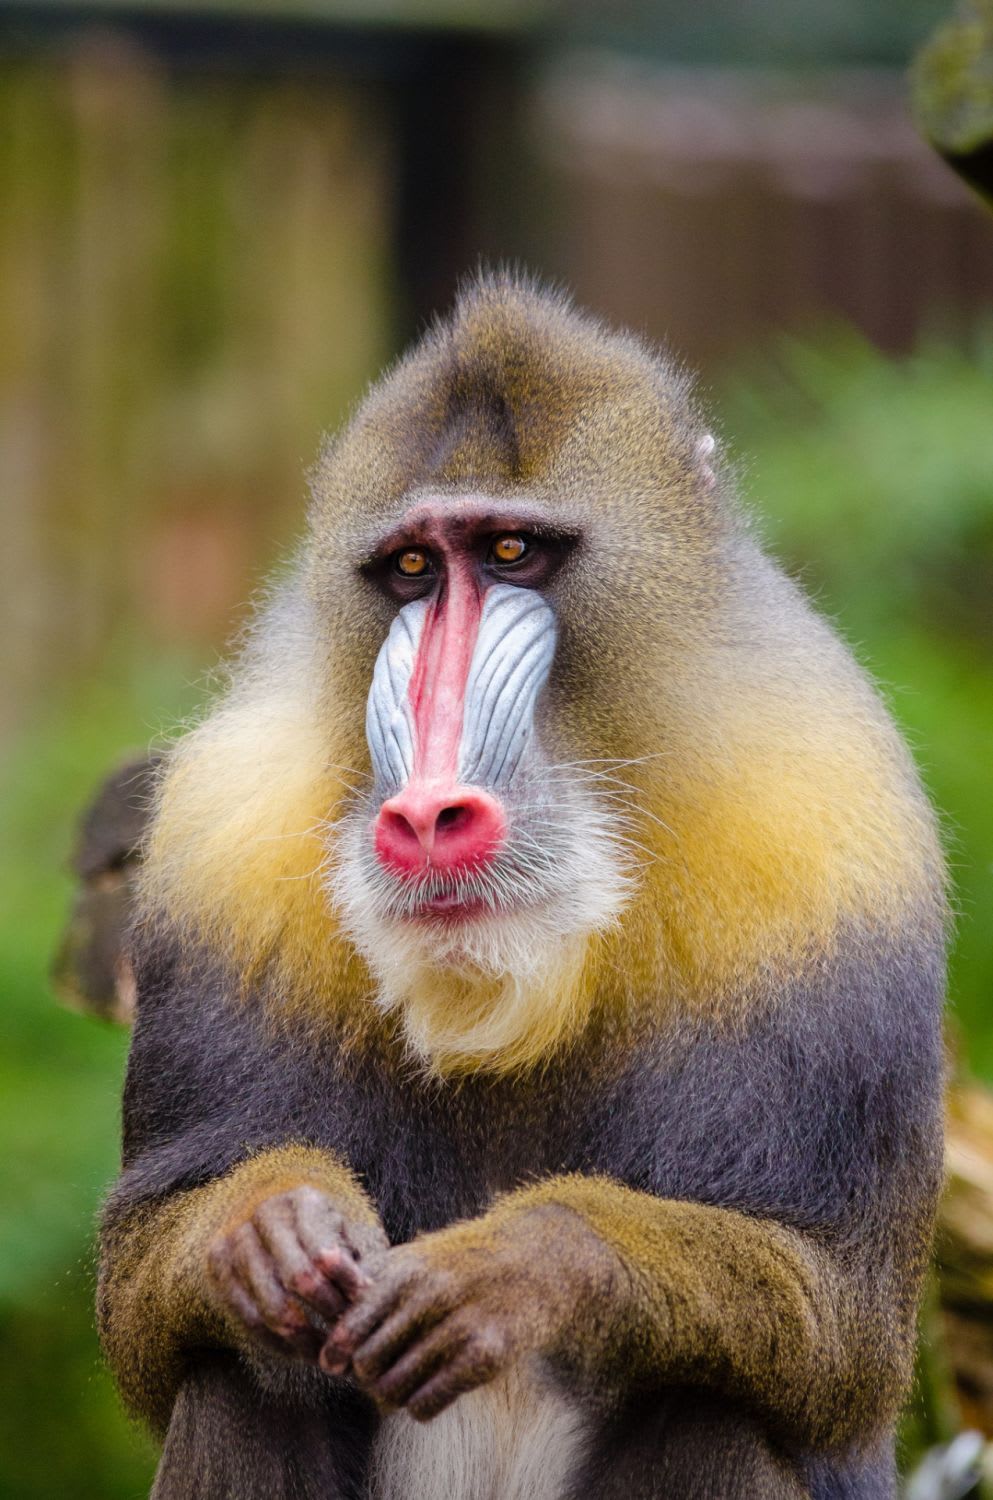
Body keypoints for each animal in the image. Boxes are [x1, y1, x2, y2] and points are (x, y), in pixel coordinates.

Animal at [98, 274, 946, 1500]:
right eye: (412, 571)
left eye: (510, 550)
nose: (426, 817)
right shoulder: (219, 850)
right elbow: (142, 1300)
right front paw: (272, 1230)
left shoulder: (831, 846)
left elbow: (839, 1328)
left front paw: (518, 1267)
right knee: (239, 1380)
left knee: (713, 1406)